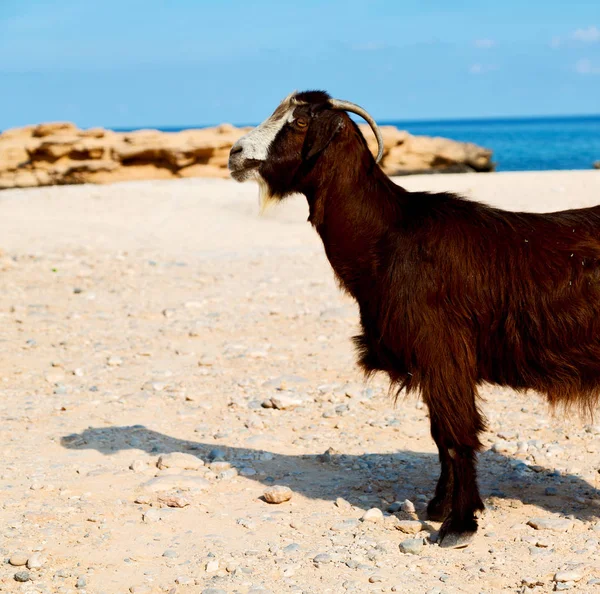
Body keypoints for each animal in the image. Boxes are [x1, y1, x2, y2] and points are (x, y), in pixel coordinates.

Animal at [227, 90, 600, 548]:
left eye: (298, 122)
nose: (234, 154)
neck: (388, 235)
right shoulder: (431, 362)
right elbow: (439, 435)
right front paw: (439, 506)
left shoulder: (443, 352)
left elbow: (456, 436)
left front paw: (459, 524)